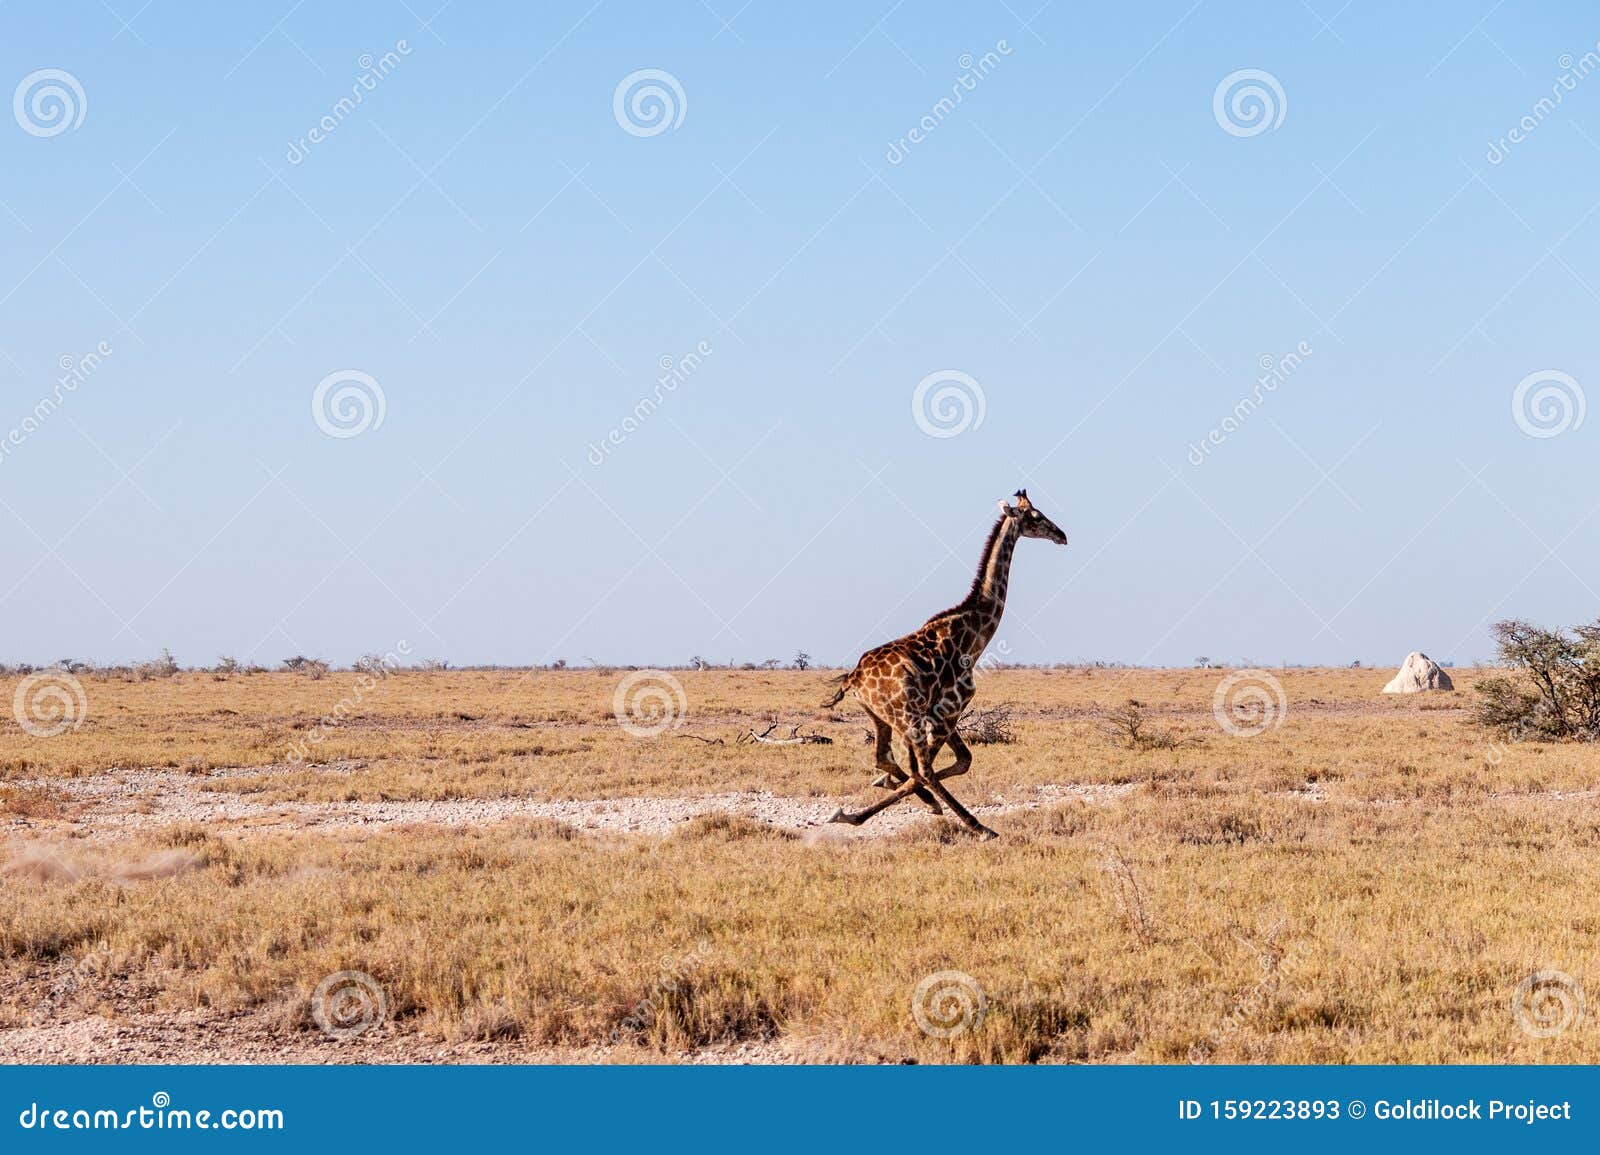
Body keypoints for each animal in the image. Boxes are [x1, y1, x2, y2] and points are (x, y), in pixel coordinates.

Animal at [822, 490, 1068, 839]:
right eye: (1036, 516)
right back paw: (977, 825)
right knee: (920, 769)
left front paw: (892, 791)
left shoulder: (942, 710)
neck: (973, 634)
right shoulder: (950, 707)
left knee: (886, 758)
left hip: (881, 716)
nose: (1061, 535)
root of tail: (853, 678)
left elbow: (963, 760)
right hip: (905, 716)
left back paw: (868, 808)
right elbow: (940, 766)